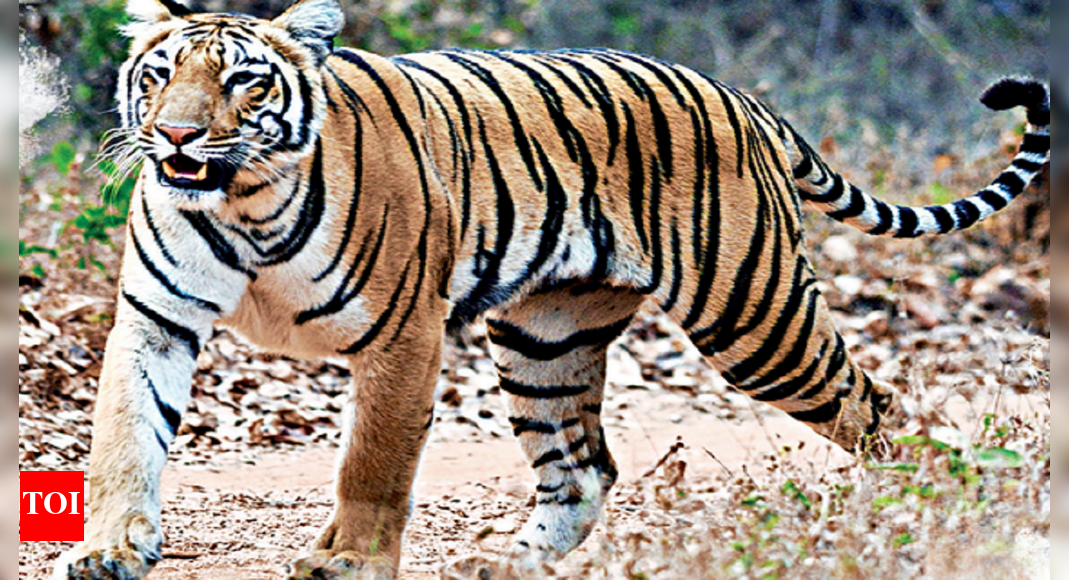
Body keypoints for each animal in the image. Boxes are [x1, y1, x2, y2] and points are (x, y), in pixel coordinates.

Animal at [50, 0, 1050, 578]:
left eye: (245, 84)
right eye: (159, 76)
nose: (176, 136)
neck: (243, 200)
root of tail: (744, 98)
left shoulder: (403, 336)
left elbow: (372, 465)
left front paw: (349, 564)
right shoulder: (155, 320)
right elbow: (123, 439)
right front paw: (111, 550)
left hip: (753, 314)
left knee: (874, 404)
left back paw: (924, 513)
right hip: (546, 336)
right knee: (583, 468)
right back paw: (502, 561)